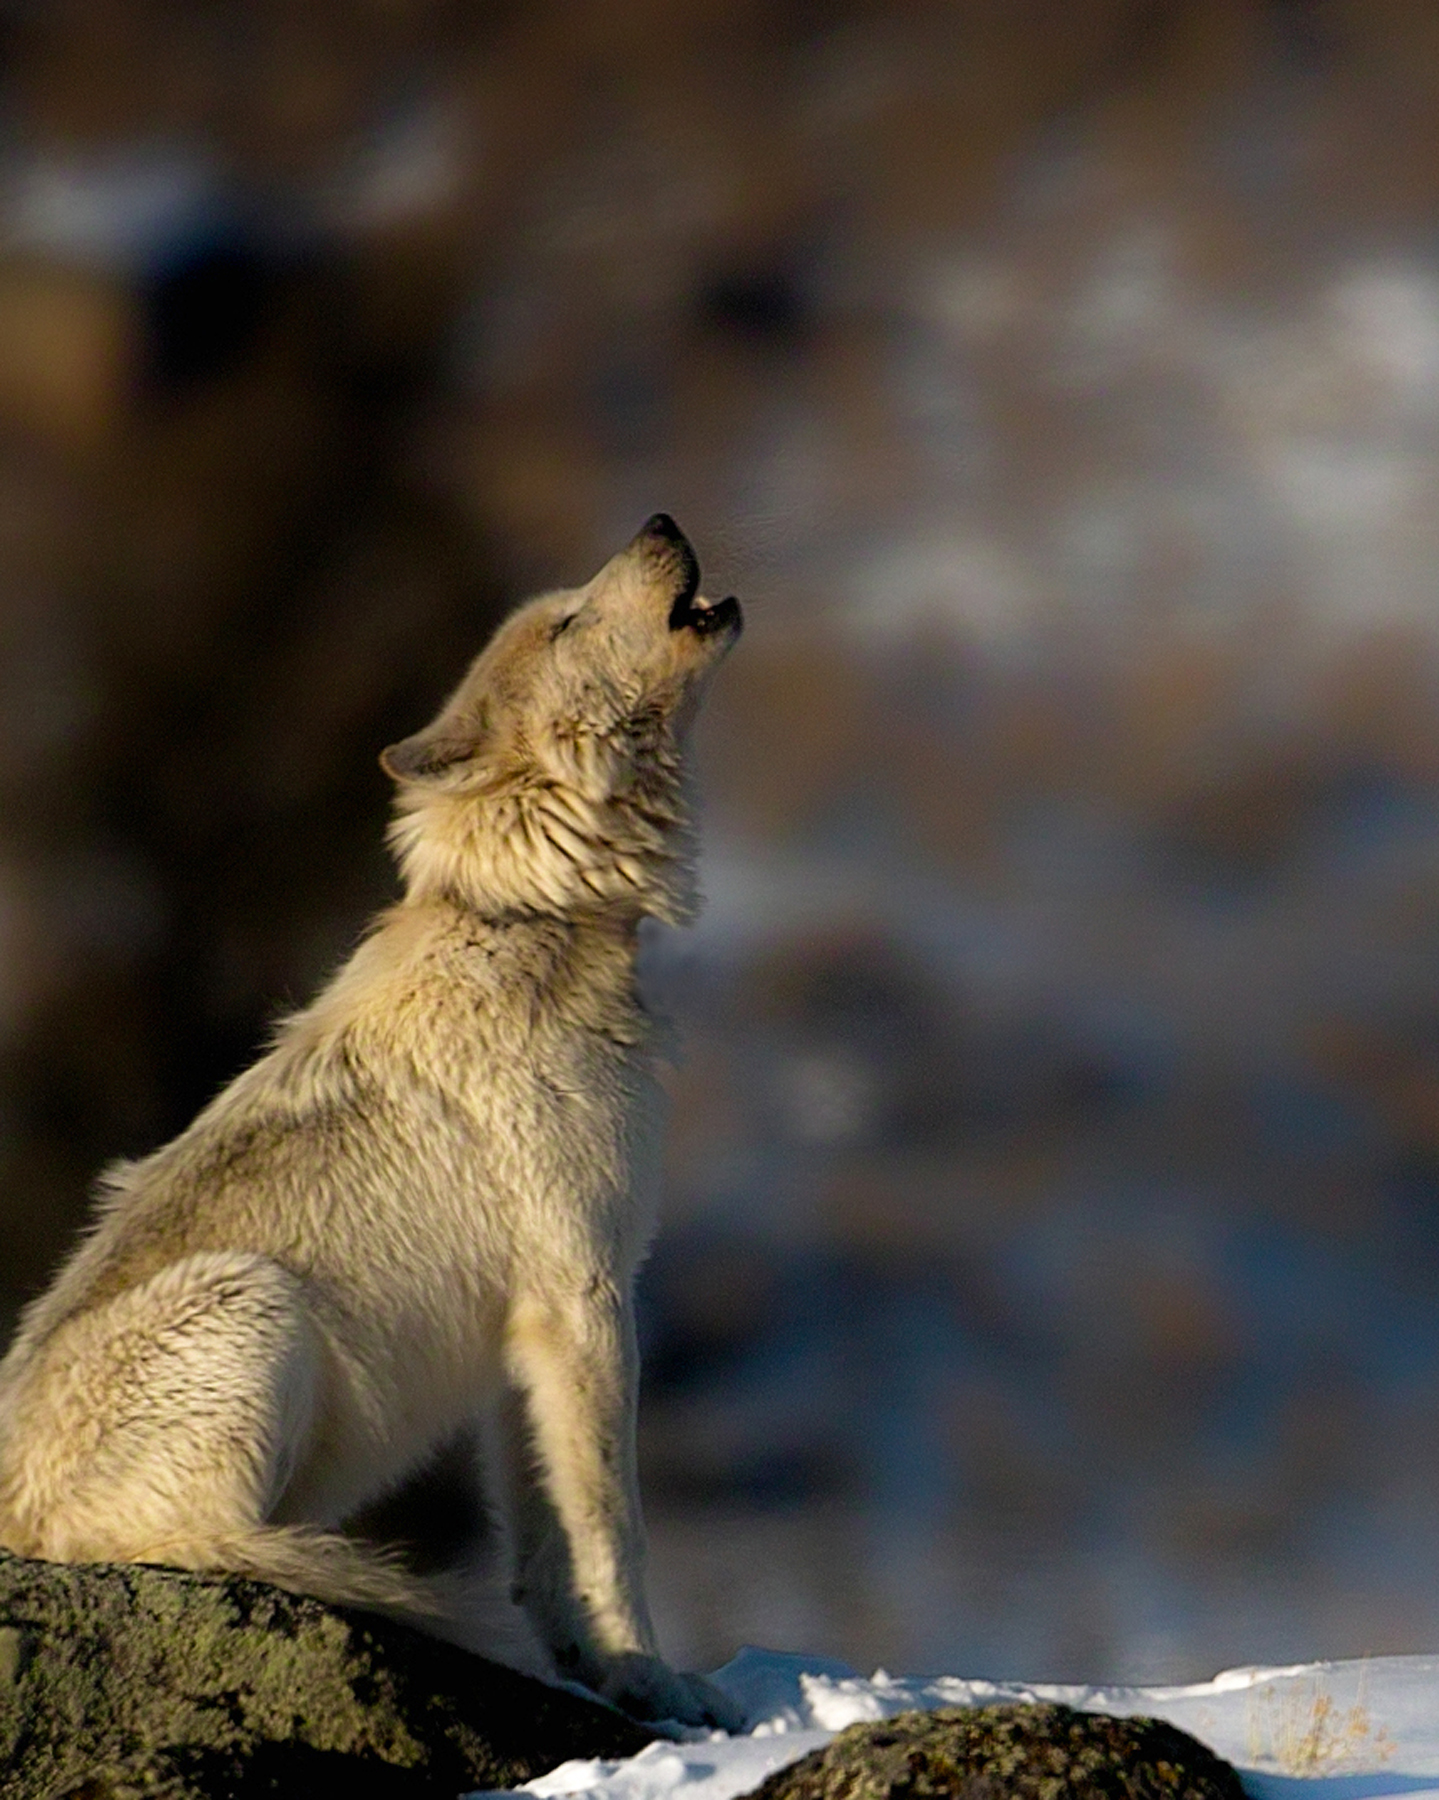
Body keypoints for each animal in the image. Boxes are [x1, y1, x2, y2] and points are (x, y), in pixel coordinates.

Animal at [0, 515, 743, 1729]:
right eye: (566, 621)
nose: (661, 522)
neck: (531, 919)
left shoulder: (530, 1333)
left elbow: (546, 1541)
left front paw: (593, 1671)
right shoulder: (586, 1290)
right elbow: (612, 1525)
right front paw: (656, 1682)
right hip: (255, 1297)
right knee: (183, 1543)